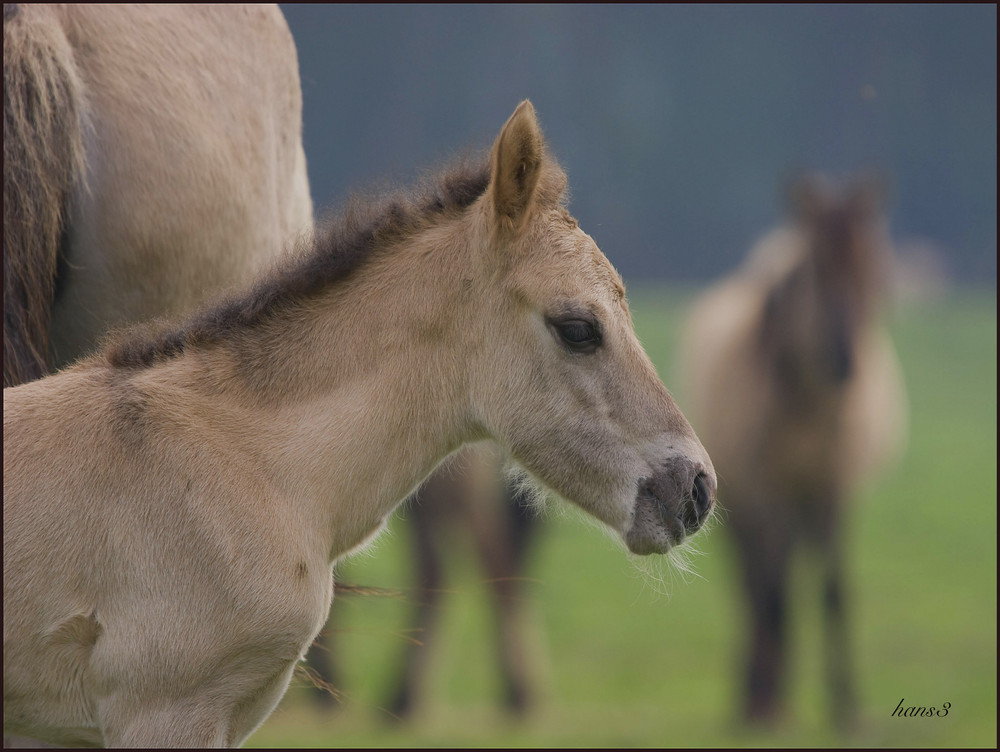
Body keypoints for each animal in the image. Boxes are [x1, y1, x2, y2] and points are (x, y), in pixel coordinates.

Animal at [680, 175, 908, 728]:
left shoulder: (832, 490)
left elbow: (833, 590)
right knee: (754, 585)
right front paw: (762, 706)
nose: (848, 361)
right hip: (742, 506)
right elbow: (773, 591)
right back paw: (756, 691)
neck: (806, 405)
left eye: (872, 267)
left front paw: (846, 707)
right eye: (817, 271)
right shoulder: (769, 492)